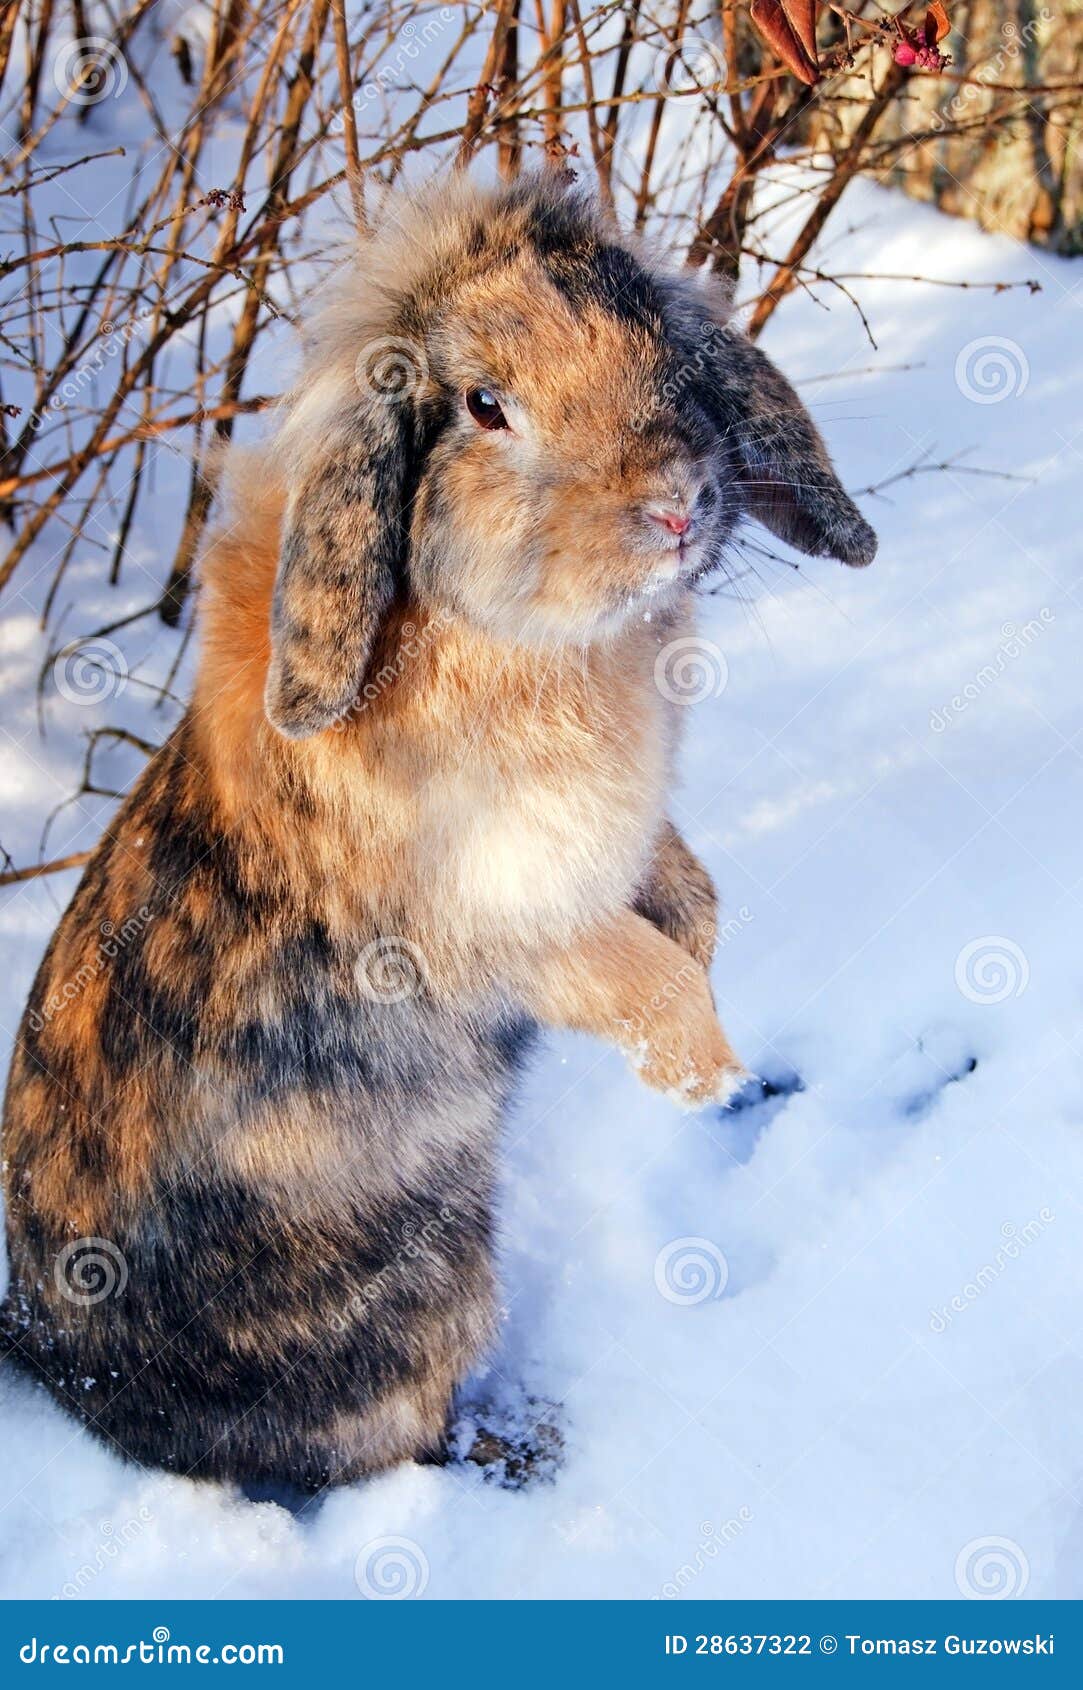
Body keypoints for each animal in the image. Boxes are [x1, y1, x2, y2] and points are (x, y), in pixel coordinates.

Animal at [1, 173, 875, 1490]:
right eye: (484, 406)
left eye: (661, 349)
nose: (676, 508)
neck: (516, 644)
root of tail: (54, 1369)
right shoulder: (514, 923)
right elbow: (648, 981)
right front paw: (708, 1080)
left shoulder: (628, 847)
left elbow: (691, 901)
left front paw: (712, 996)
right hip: (427, 1291)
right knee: (394, 1439)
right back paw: (521, 1449)